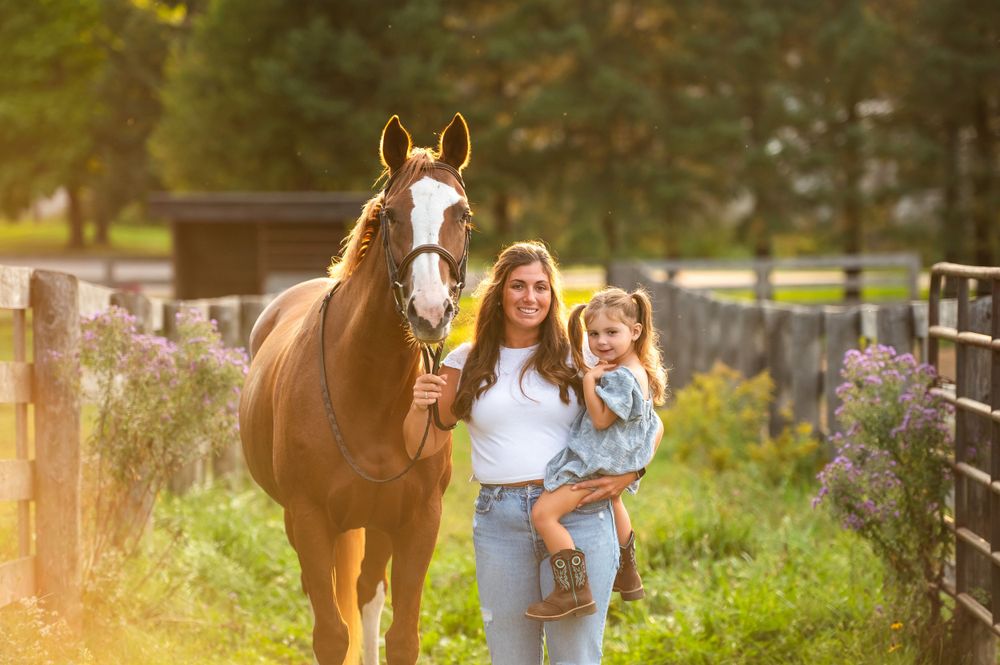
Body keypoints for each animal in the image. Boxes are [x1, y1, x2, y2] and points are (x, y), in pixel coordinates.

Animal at [239, 114, 471, 665]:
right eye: (391, 216)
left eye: (463, 215)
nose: (430, 312)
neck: (371, 392)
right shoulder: (309, 519)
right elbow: (330, 634)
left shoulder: (417, 522)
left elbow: (401, 636)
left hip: (377, 524)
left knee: (367, 592)